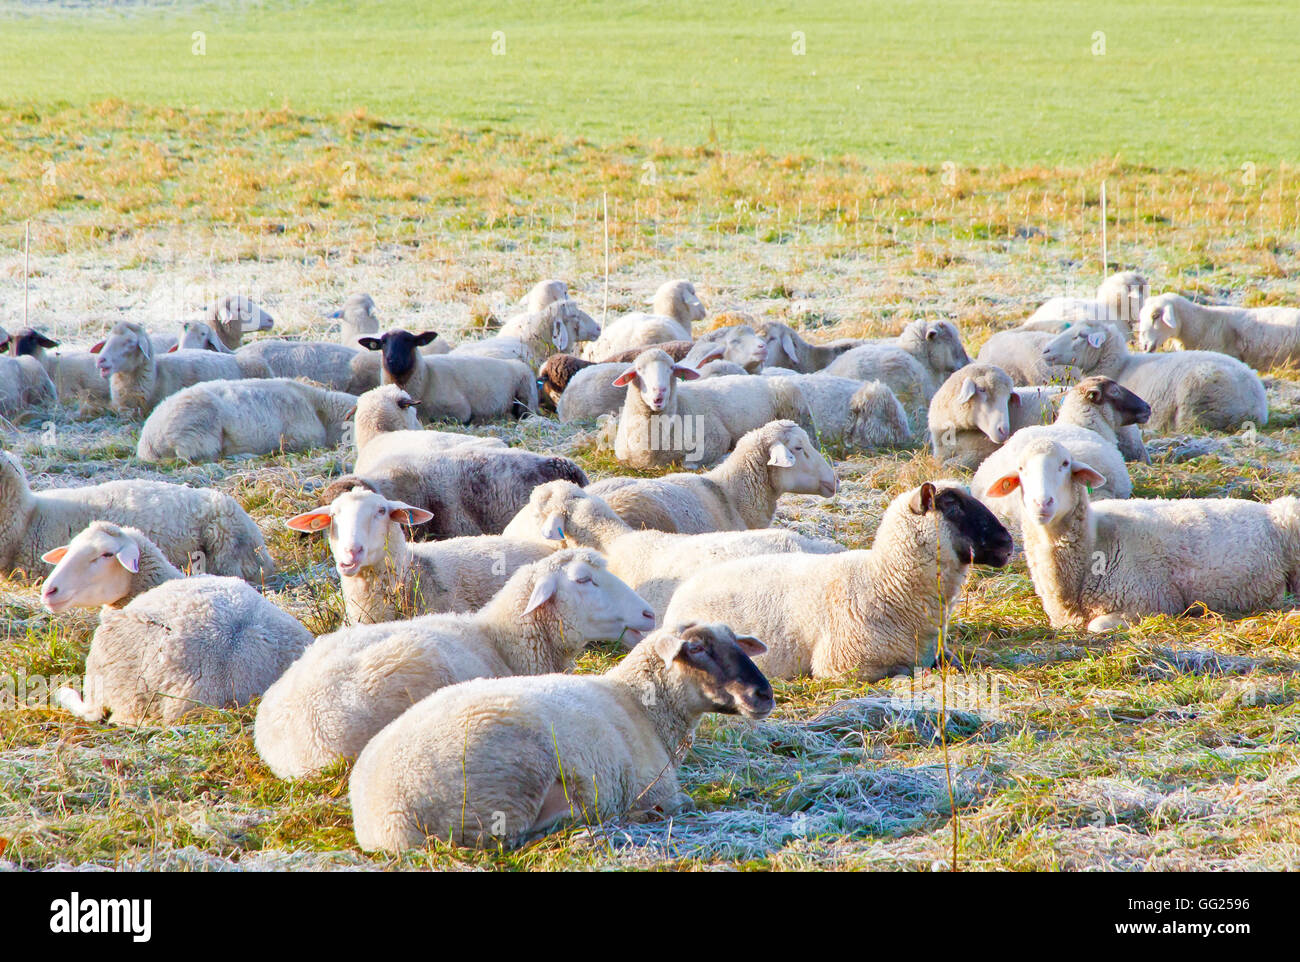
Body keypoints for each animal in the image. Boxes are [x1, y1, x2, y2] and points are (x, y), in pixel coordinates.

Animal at [349, 622, 772, 851]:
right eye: (697, 648)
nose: (764, 694)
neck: (642, 707)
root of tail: (390, 818)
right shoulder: (659, 789)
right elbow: (681, 803)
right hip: (509, 779)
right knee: (509, 838)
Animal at [358, 329, 538, 423]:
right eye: (383, 343)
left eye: (409, 341)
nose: (392, 360)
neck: (426, 376)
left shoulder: (459, 410)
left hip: (526, 396)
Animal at [983, 438, 1300, 632]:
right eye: (1021, 469)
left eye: (1065, 464)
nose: (1042, 503)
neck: (1095, 541)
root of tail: (1267, 507)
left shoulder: (1148, 602)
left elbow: (1095, 626)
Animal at [1041, 321, 1268, 432]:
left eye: (1079, 336)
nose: (1045, 350)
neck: (1121, 366)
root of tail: (1257, 404)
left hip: (1197, 398)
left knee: (1188, 425)